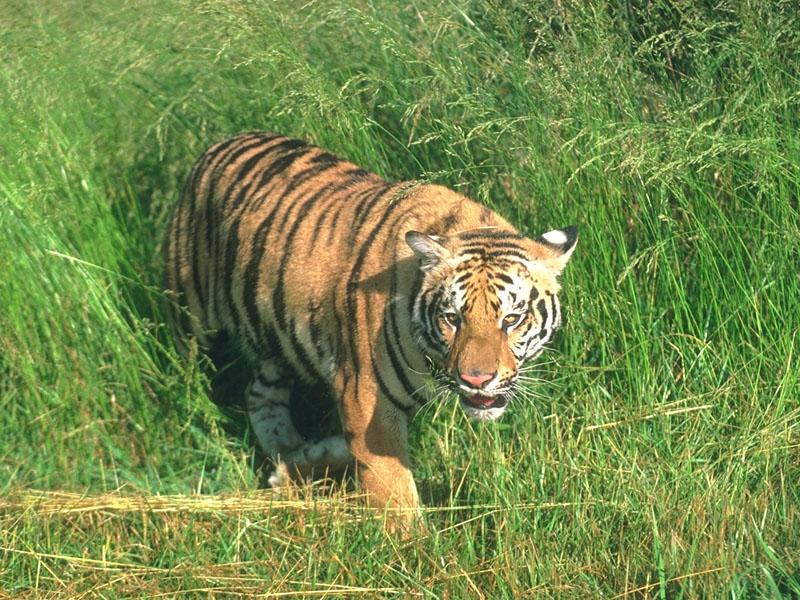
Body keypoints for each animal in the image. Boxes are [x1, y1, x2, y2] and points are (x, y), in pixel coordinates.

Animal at [163, 131, 577, 519]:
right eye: (452, 318)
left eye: (511, 319)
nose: (476, 380)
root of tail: (218, 145)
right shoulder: (364, 399)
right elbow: (395, 494)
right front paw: (412, 547)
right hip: (191, 316)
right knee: (185, 385)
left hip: (274, 340)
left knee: (260, 396)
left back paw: (293, 460)